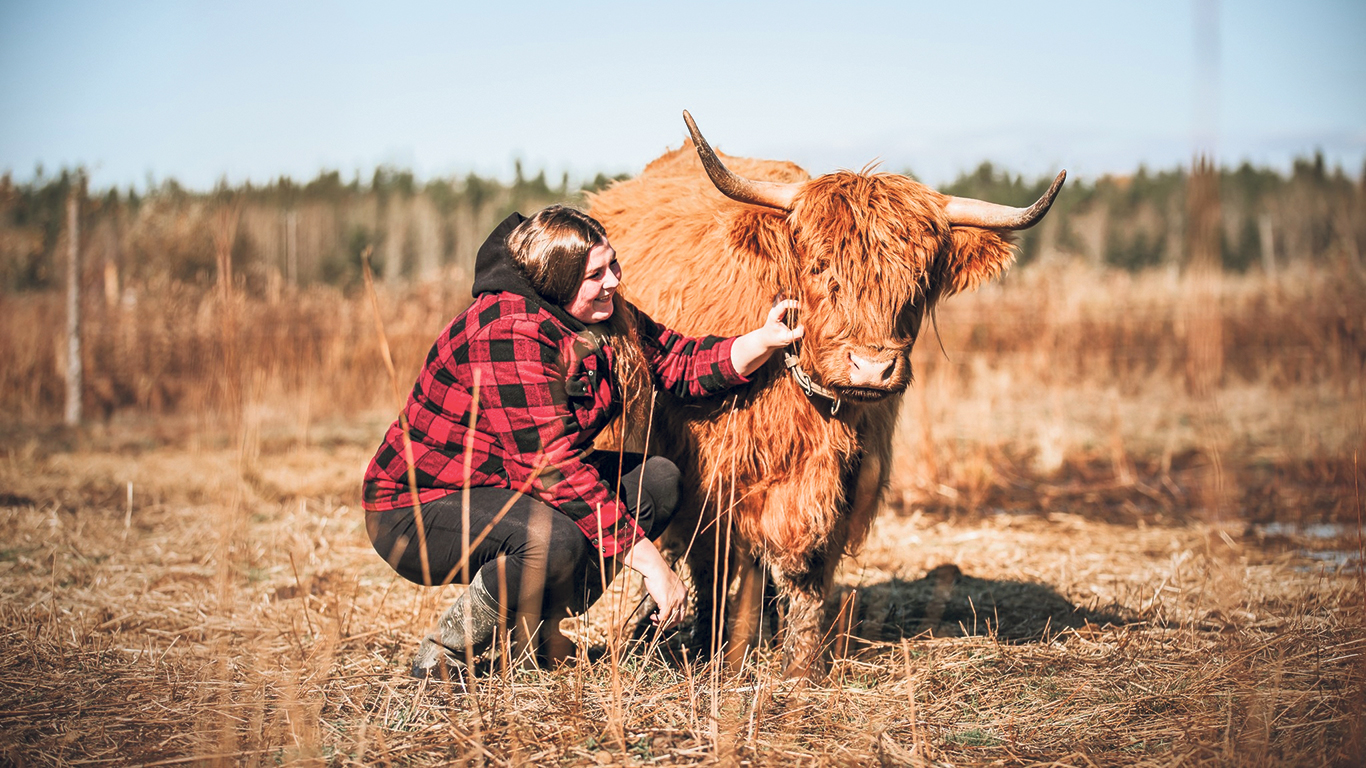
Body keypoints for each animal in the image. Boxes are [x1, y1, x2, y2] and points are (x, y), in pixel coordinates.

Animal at [587, 112, 1064, 677]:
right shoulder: (713, 475)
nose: (872, 368)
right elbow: (713, 563)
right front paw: (713, 653)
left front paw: (799, 668)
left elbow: (809, 576)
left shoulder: (845, 481)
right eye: (818, 266)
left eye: (920, 279)